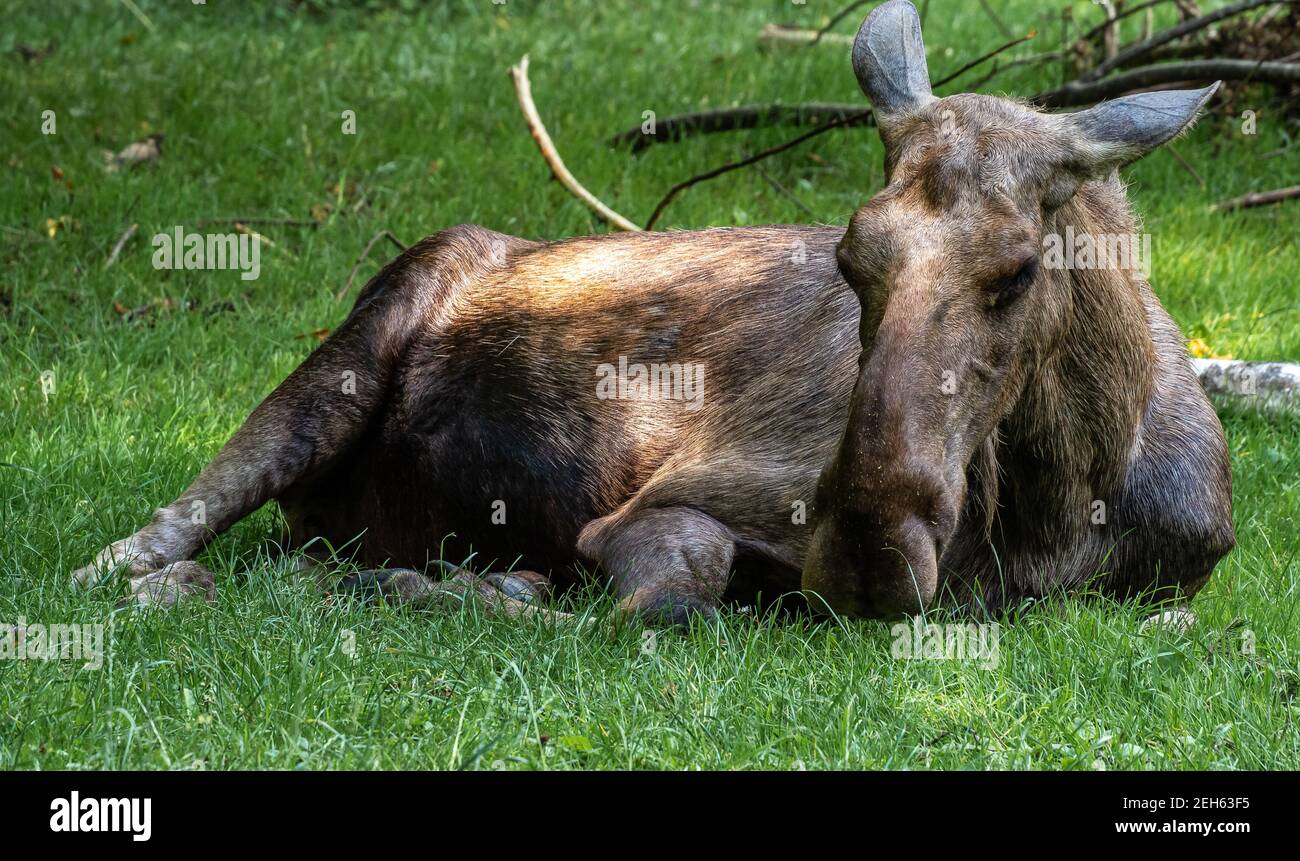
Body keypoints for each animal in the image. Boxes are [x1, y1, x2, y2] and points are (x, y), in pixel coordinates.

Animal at [73, 0, 1234, 625]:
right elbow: (672, 589)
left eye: (1020, 269)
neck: (1063, 498)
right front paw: (475, 591)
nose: (865, 549)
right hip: (348, 351)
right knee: (136, 548)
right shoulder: (664, 502)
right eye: (850, 254)